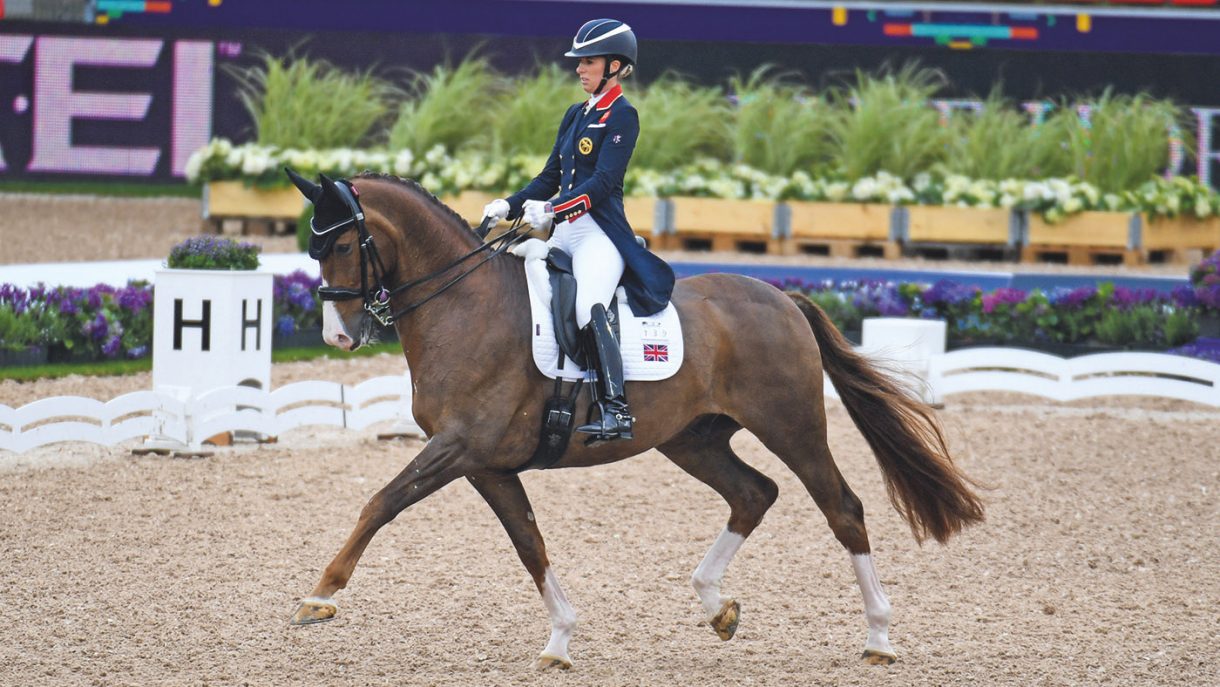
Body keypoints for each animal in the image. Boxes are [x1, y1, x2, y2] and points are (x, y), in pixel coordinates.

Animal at [284, 170, 985, 670]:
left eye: (340, 243)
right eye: (313, 247)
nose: (339, 337)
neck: (465, 305)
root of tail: (781, 296)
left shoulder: (459, 448)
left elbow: (380, 502)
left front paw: (319, 596)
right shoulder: (483, 463)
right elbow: (529, 541)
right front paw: (560, 640)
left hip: (792, 426)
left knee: (842, 508)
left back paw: (879, 637)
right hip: (692, 440)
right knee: (754, 493)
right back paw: (717, 605)